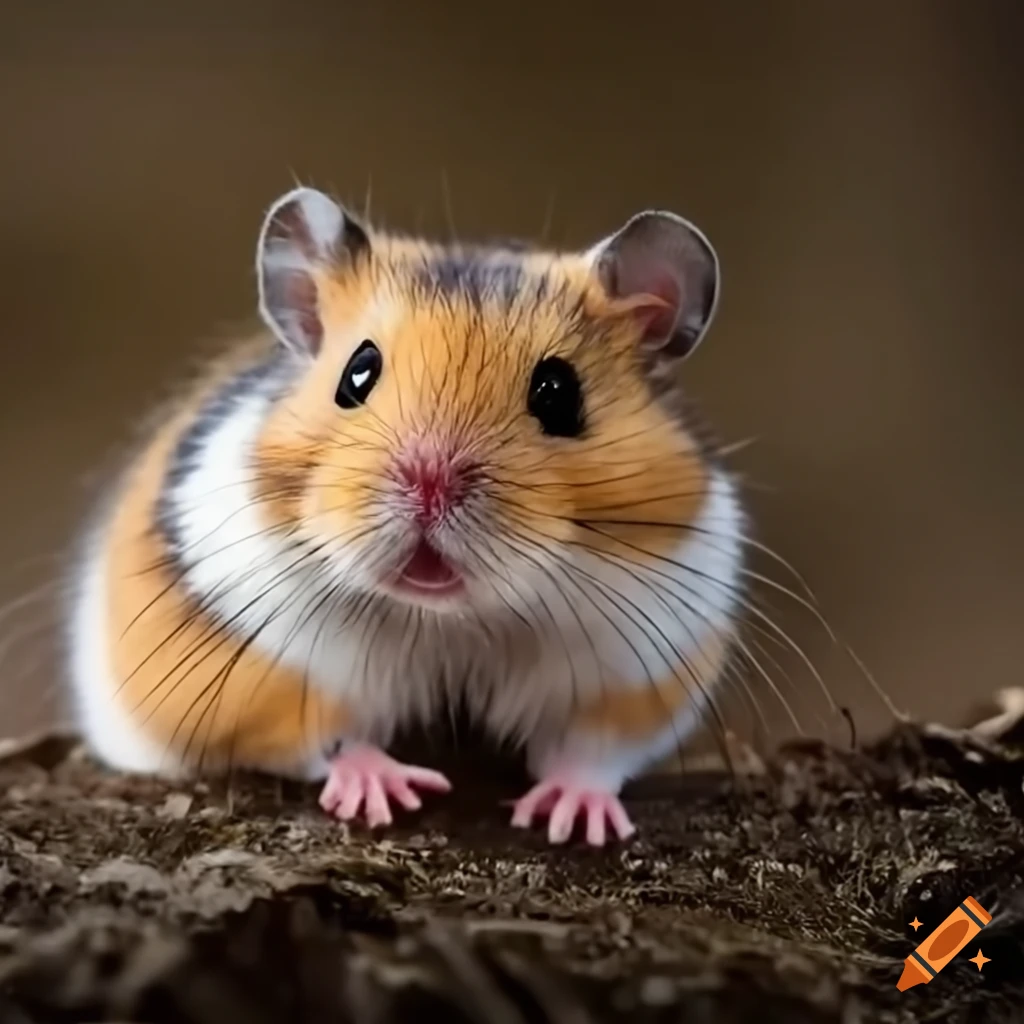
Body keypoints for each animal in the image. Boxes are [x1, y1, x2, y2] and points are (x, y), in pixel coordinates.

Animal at [66, 186, 746, 846]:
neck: (450, 622)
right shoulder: (280, 662)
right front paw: (387, 795)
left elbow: (591, 753)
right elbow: (327, 735)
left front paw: (572, 820)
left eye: (558, 393)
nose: (428, 484)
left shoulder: (630, 672)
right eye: (357, 372)